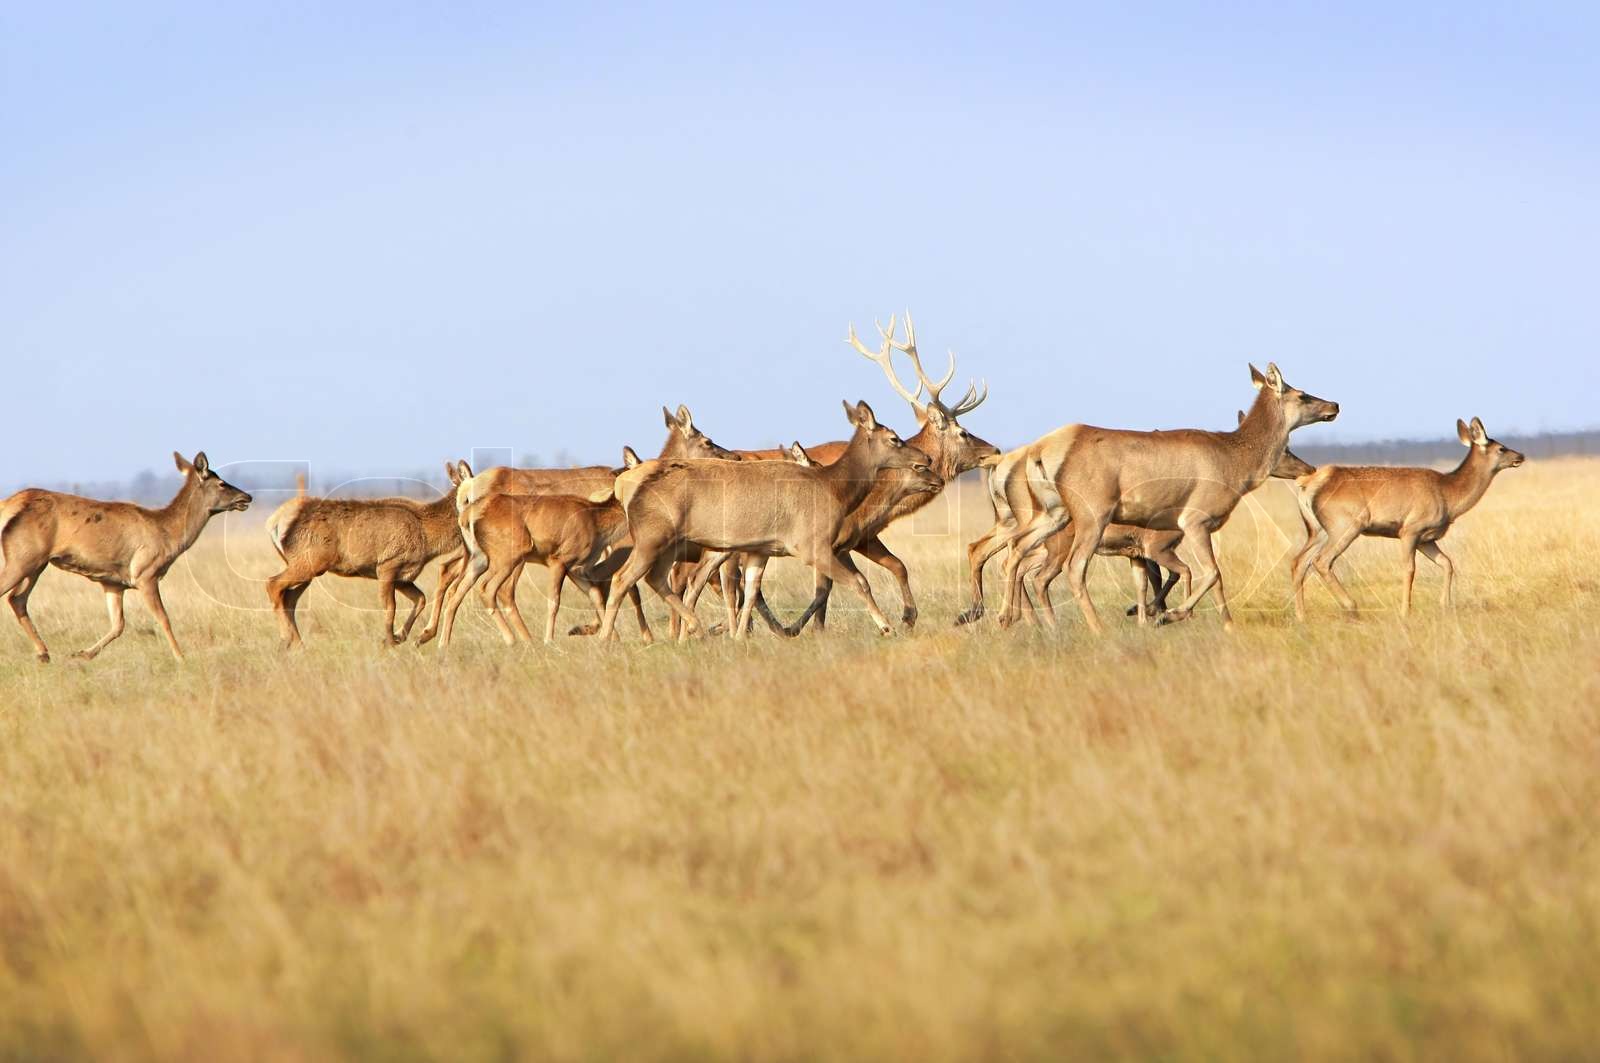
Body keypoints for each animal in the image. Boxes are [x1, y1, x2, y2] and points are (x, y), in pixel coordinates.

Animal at [0, 451, 252, 663]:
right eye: (221, 483)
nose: (247, 497)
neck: (169, 535)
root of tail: (9, 505)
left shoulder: (113, 582)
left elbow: (118, 625)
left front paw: (83, 654)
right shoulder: (145, 573)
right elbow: (164, 618)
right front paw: (181, 658)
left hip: (35, 563)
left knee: (17, 599)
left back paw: (44, 653)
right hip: (23, 557)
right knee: (11, 595)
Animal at [265, 461, 472, 648]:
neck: (429, 538)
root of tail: (274, 522)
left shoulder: (403, 577)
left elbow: (420, 598)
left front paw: (403, 637)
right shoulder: (387, 565)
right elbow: (390, 608)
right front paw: (389, 643)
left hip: (306, 567)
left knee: (289, 598)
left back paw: (296, 644)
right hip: (310, 562)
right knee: (273, 584)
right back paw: (288, 640)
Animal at [595, 400, 932, 641]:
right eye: (895, 439)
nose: (926, 459)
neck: (834, 489)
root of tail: (628, 492)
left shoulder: (761, 549)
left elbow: (752, 592)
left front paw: (741, 637)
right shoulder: (811, 544)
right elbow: (858, 581)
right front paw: (887, 626)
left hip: (671, 546)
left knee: (658, 579)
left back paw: (694, 627)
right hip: (651, 539)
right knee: (623, 579)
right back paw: (606, 640)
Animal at [989, 362, 1338, 633]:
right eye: (1302, 394)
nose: (1334, 405)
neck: (1237, 462)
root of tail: (1040, 450)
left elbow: (1212, 578)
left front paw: (1227, 624)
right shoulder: (1195, 521)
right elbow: (1211, 572)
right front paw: (1171, 615)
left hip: (1054, 513)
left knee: (1016, 549)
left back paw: (1007, 617)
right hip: (1092, 515)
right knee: (1072, 568)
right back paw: (1097, 628)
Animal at [1290, 417, 1524, 620]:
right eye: (1501, 448)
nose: (1520, 456)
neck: (1449, 495)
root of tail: (1309, 484)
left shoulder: (1426, 539)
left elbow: (1447, 563)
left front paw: (1445, 605)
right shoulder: (1410, 529)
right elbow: (1410, 569)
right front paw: (1405, 611)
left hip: (1318, 530)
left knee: (1299, 561)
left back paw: (1301, 616)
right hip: (1346, 525)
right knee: (1321, 561)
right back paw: (1351, 606)